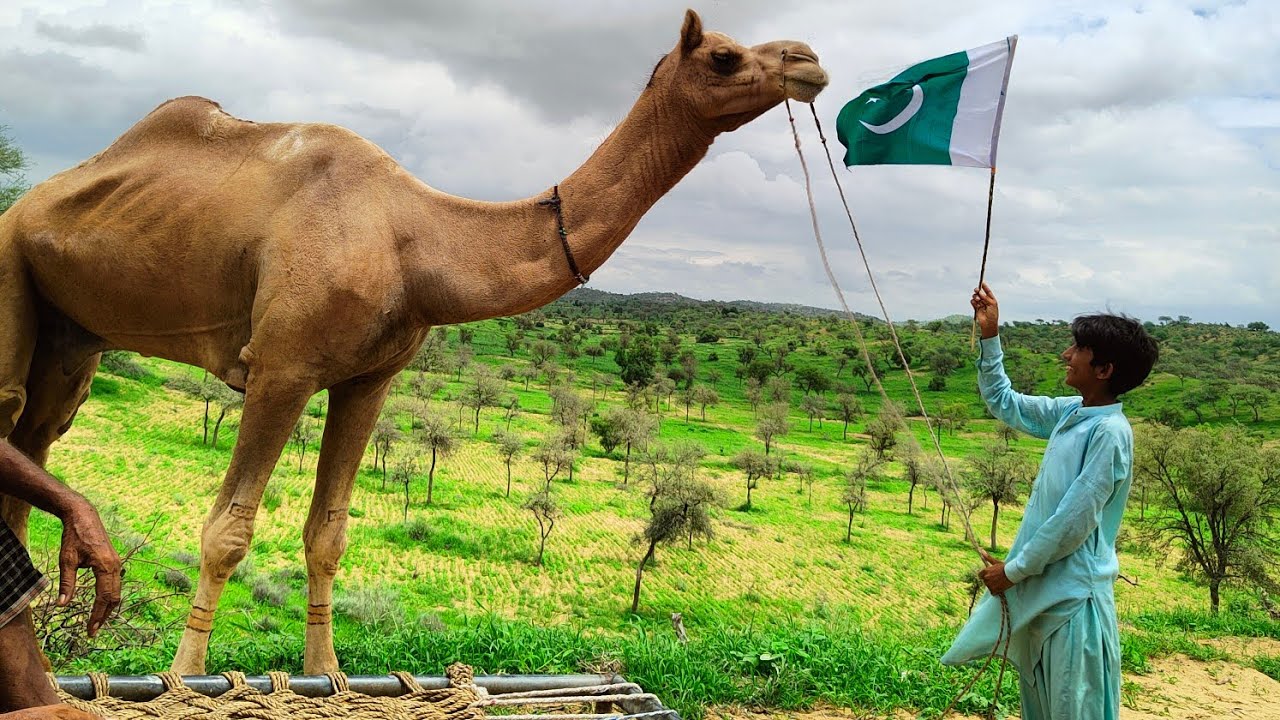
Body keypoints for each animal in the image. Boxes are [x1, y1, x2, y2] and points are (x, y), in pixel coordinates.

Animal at [0, 10, 826, 674]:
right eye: (724, 56)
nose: (809, 59)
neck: (416, 242)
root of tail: (36, 199)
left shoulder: (370, 379)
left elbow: (328, 534)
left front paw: (327, 673)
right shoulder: (282, 366)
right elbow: (228, 530)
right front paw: (184, 677)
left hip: (75, 337)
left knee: (35, 441)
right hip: (12, 261)